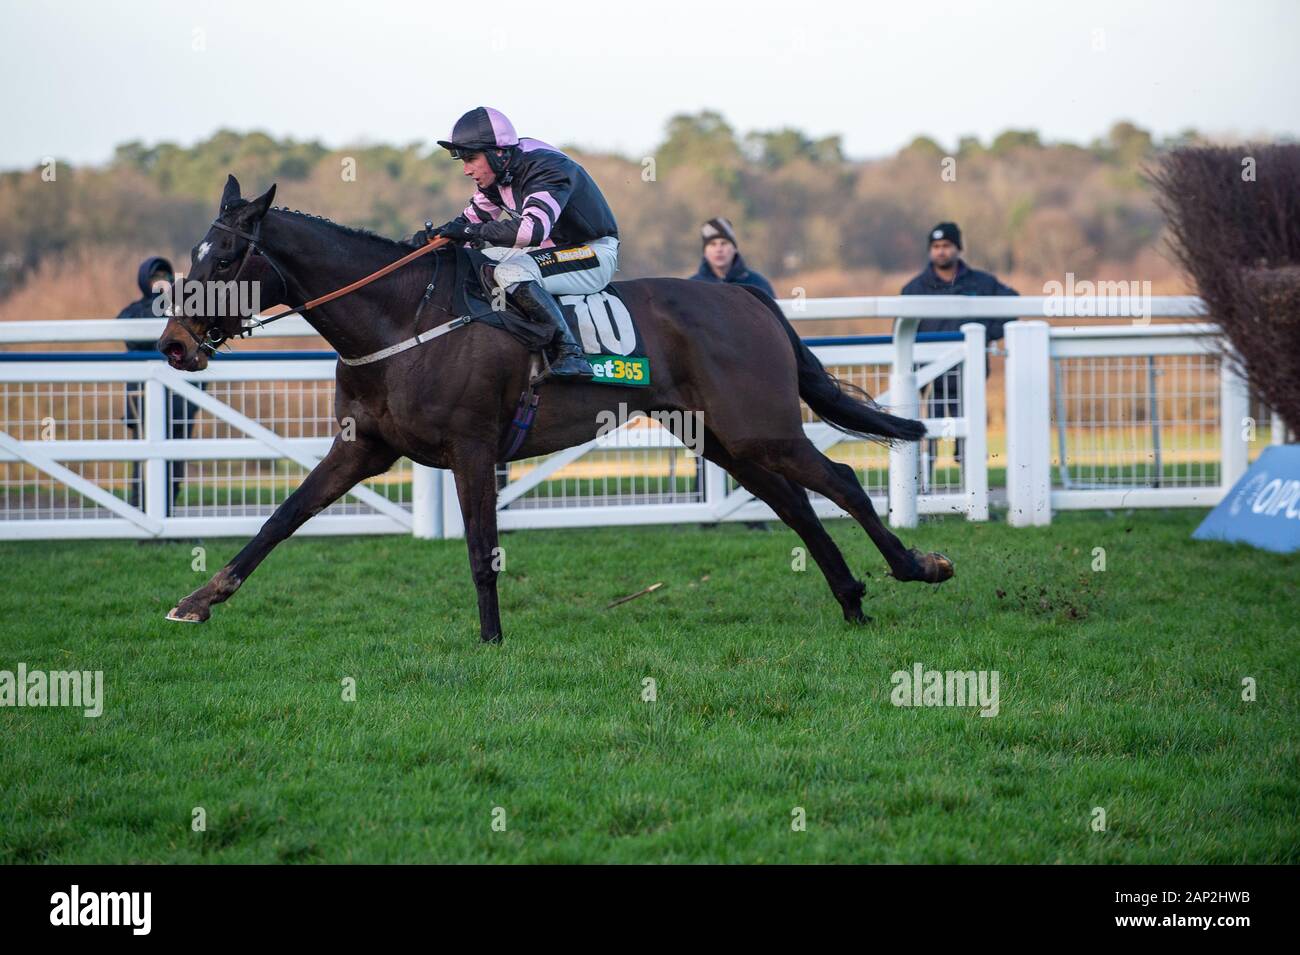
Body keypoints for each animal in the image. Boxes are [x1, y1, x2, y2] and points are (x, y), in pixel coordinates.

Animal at [157, 175, 953, 642]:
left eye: (224, 258)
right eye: (193, 255)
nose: (173, 343)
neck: (402, 317)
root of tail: (748, 298)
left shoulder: (472, 448)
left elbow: (481, 552)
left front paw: (490, 641)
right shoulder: (363, 448)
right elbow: (280, 519)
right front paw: (197, 599)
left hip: (761, 426)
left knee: (840, 481)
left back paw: (915, 566)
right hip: (722, 438)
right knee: (794, 503)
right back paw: (851, 597)